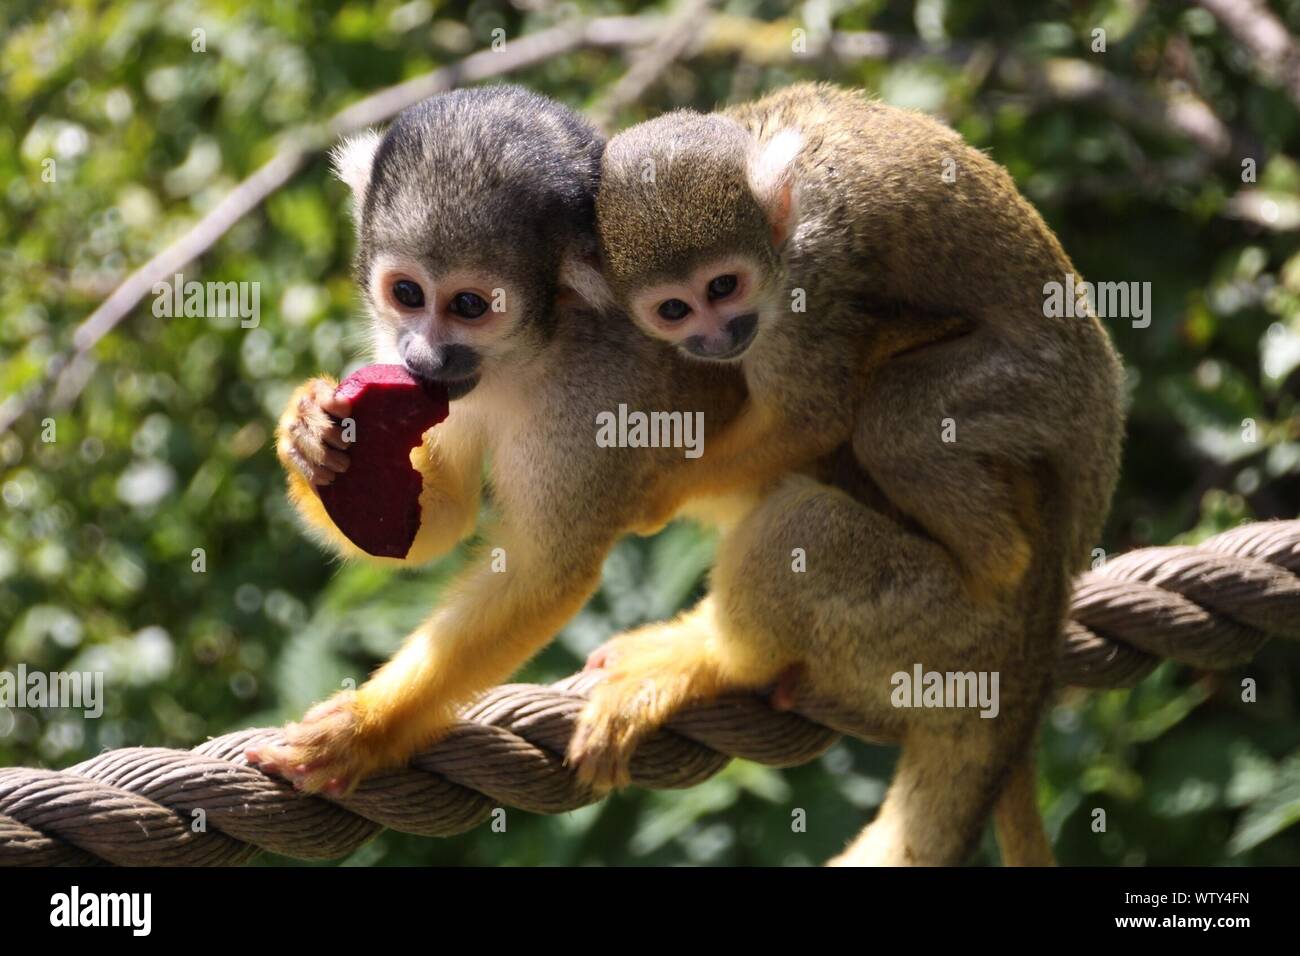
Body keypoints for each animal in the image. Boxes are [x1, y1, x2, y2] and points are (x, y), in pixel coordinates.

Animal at [566, 82, 1125, 865]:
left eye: (724, 286)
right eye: (676, 308)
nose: (719, 335)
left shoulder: (809, 276)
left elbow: (812, 412)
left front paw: (652, 497)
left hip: (1036, 409)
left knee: (869, 454)